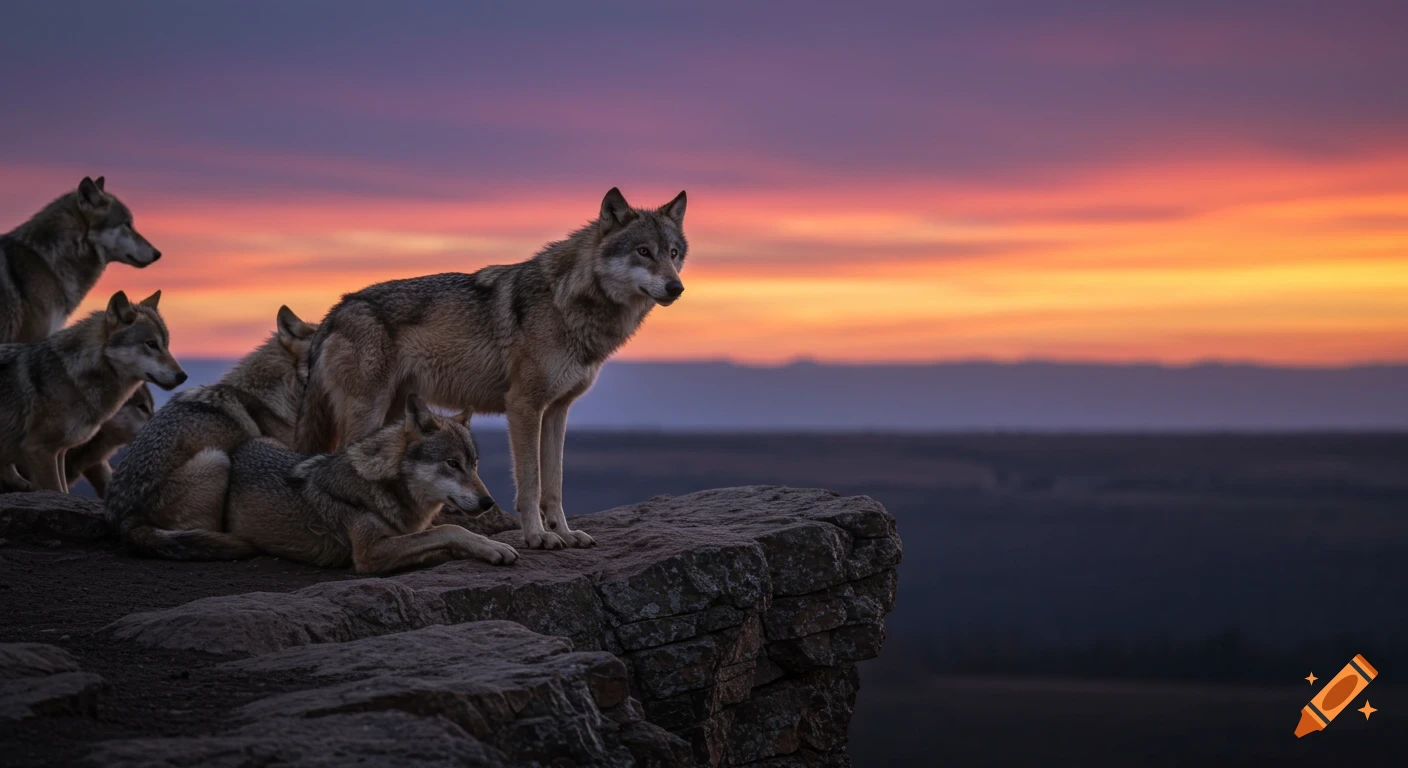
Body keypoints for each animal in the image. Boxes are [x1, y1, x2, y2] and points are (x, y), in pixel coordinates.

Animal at [0, 291, 184, 493]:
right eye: (151, 344)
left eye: (166, 345)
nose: (183, 376)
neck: (71, 376)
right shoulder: (39, 449)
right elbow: (57, 488)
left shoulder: (59, 451)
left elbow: (64, 490)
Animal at [222, 393, 516, 573]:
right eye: (452, 464)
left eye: (474, 464)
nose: (488, 502)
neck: (386, 487)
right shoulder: (369, 552)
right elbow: (448, 529)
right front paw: (493, 546)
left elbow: (448, 533)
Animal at [296, 188, 687, 550]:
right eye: (643, 251)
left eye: (672, 253)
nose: (677, 287)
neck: (568, 301)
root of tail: (335, 311)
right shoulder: (524, 406)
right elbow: (531, 482)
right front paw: (537, 536)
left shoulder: (557, 410)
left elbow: (554, 483)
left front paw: (564, 532)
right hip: (368, 411)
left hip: (394, 415)